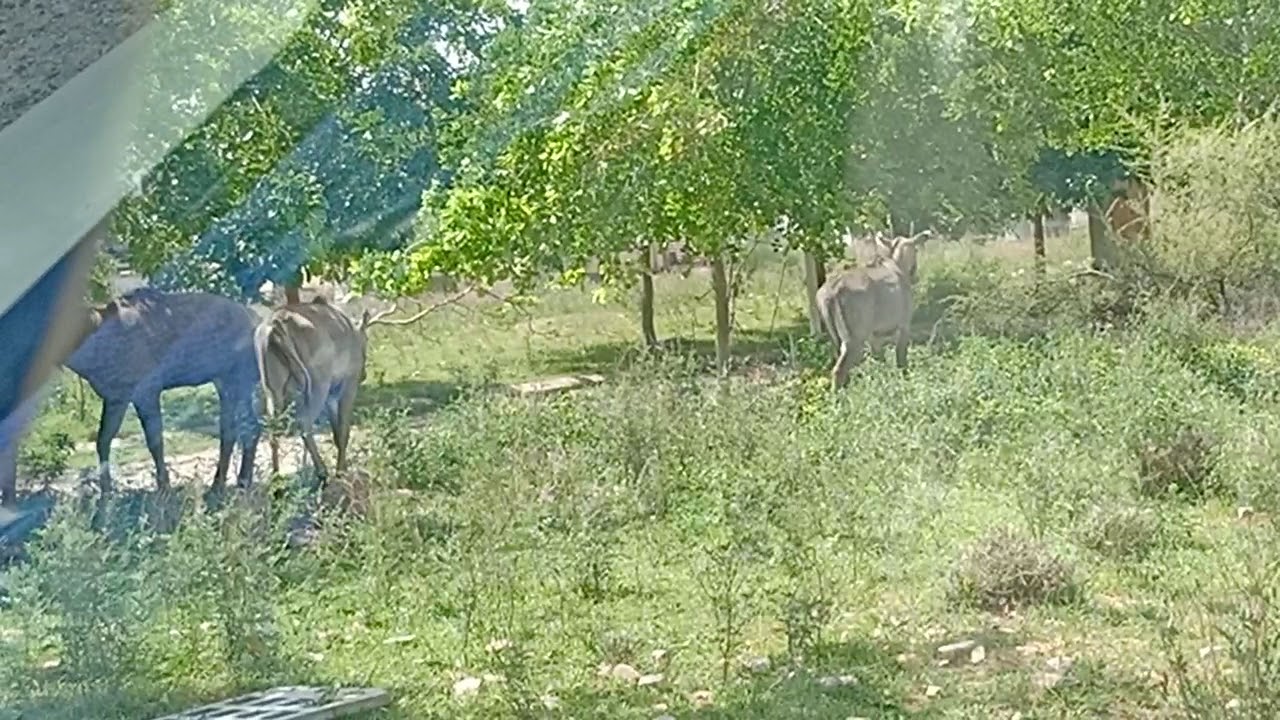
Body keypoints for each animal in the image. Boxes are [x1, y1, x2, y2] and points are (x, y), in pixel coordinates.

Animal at [0, 288, 263, 505]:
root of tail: (257, 320)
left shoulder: (146, 390)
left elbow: (154, 441)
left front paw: (164, 489)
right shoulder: (115, 397)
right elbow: (103, 440)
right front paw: (106, 495)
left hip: (240, 378)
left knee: (249, 427)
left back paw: (241, 483)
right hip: (224, 381)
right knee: (231, 431)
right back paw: (220, 486)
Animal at [254, 296, 379, 481]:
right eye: (368, 340)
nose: (364, 374)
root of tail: (275, 325)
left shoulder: (331, 396)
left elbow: (336, 432)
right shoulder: (347, 385)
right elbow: (343, 430)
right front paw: (341, 471)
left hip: (273, 389)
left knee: (273, 428)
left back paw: (277, 477)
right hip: (318, 385)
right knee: (304, 423)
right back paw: (322, 472)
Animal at [815, 231, 929, 390]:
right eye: (916, 249)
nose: (914, 271)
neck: (898, 264)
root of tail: (830, 292)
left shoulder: (874, 335)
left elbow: (879, 359)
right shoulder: (904, 325)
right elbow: (901, 358)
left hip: (837, 338)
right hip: (854, 339)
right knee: (838, 370)